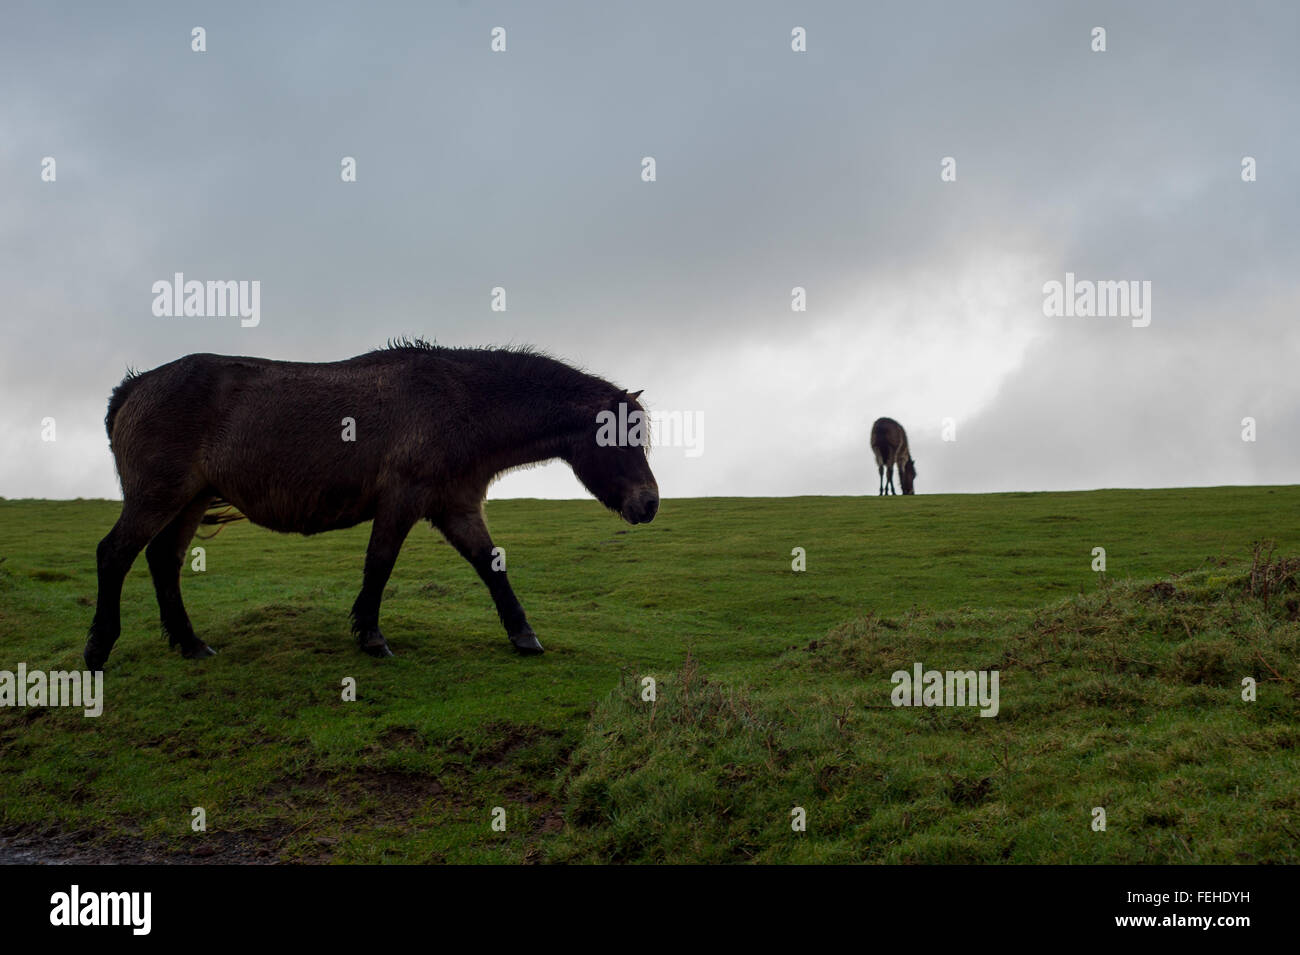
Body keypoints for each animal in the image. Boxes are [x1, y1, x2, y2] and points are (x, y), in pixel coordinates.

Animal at [84, 341, 659, 670]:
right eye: (618, 437)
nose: (650, 504)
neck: (460, 402)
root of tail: (134, 387)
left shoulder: (456, 506)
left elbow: (491, 565)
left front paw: (524, 635)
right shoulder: (403, 498)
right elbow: (379, 563)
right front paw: (371, 636)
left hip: (189, 500)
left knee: (163, 561)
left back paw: (190, 643)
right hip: (157, 497)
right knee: (114, 554)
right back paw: (97, 651)